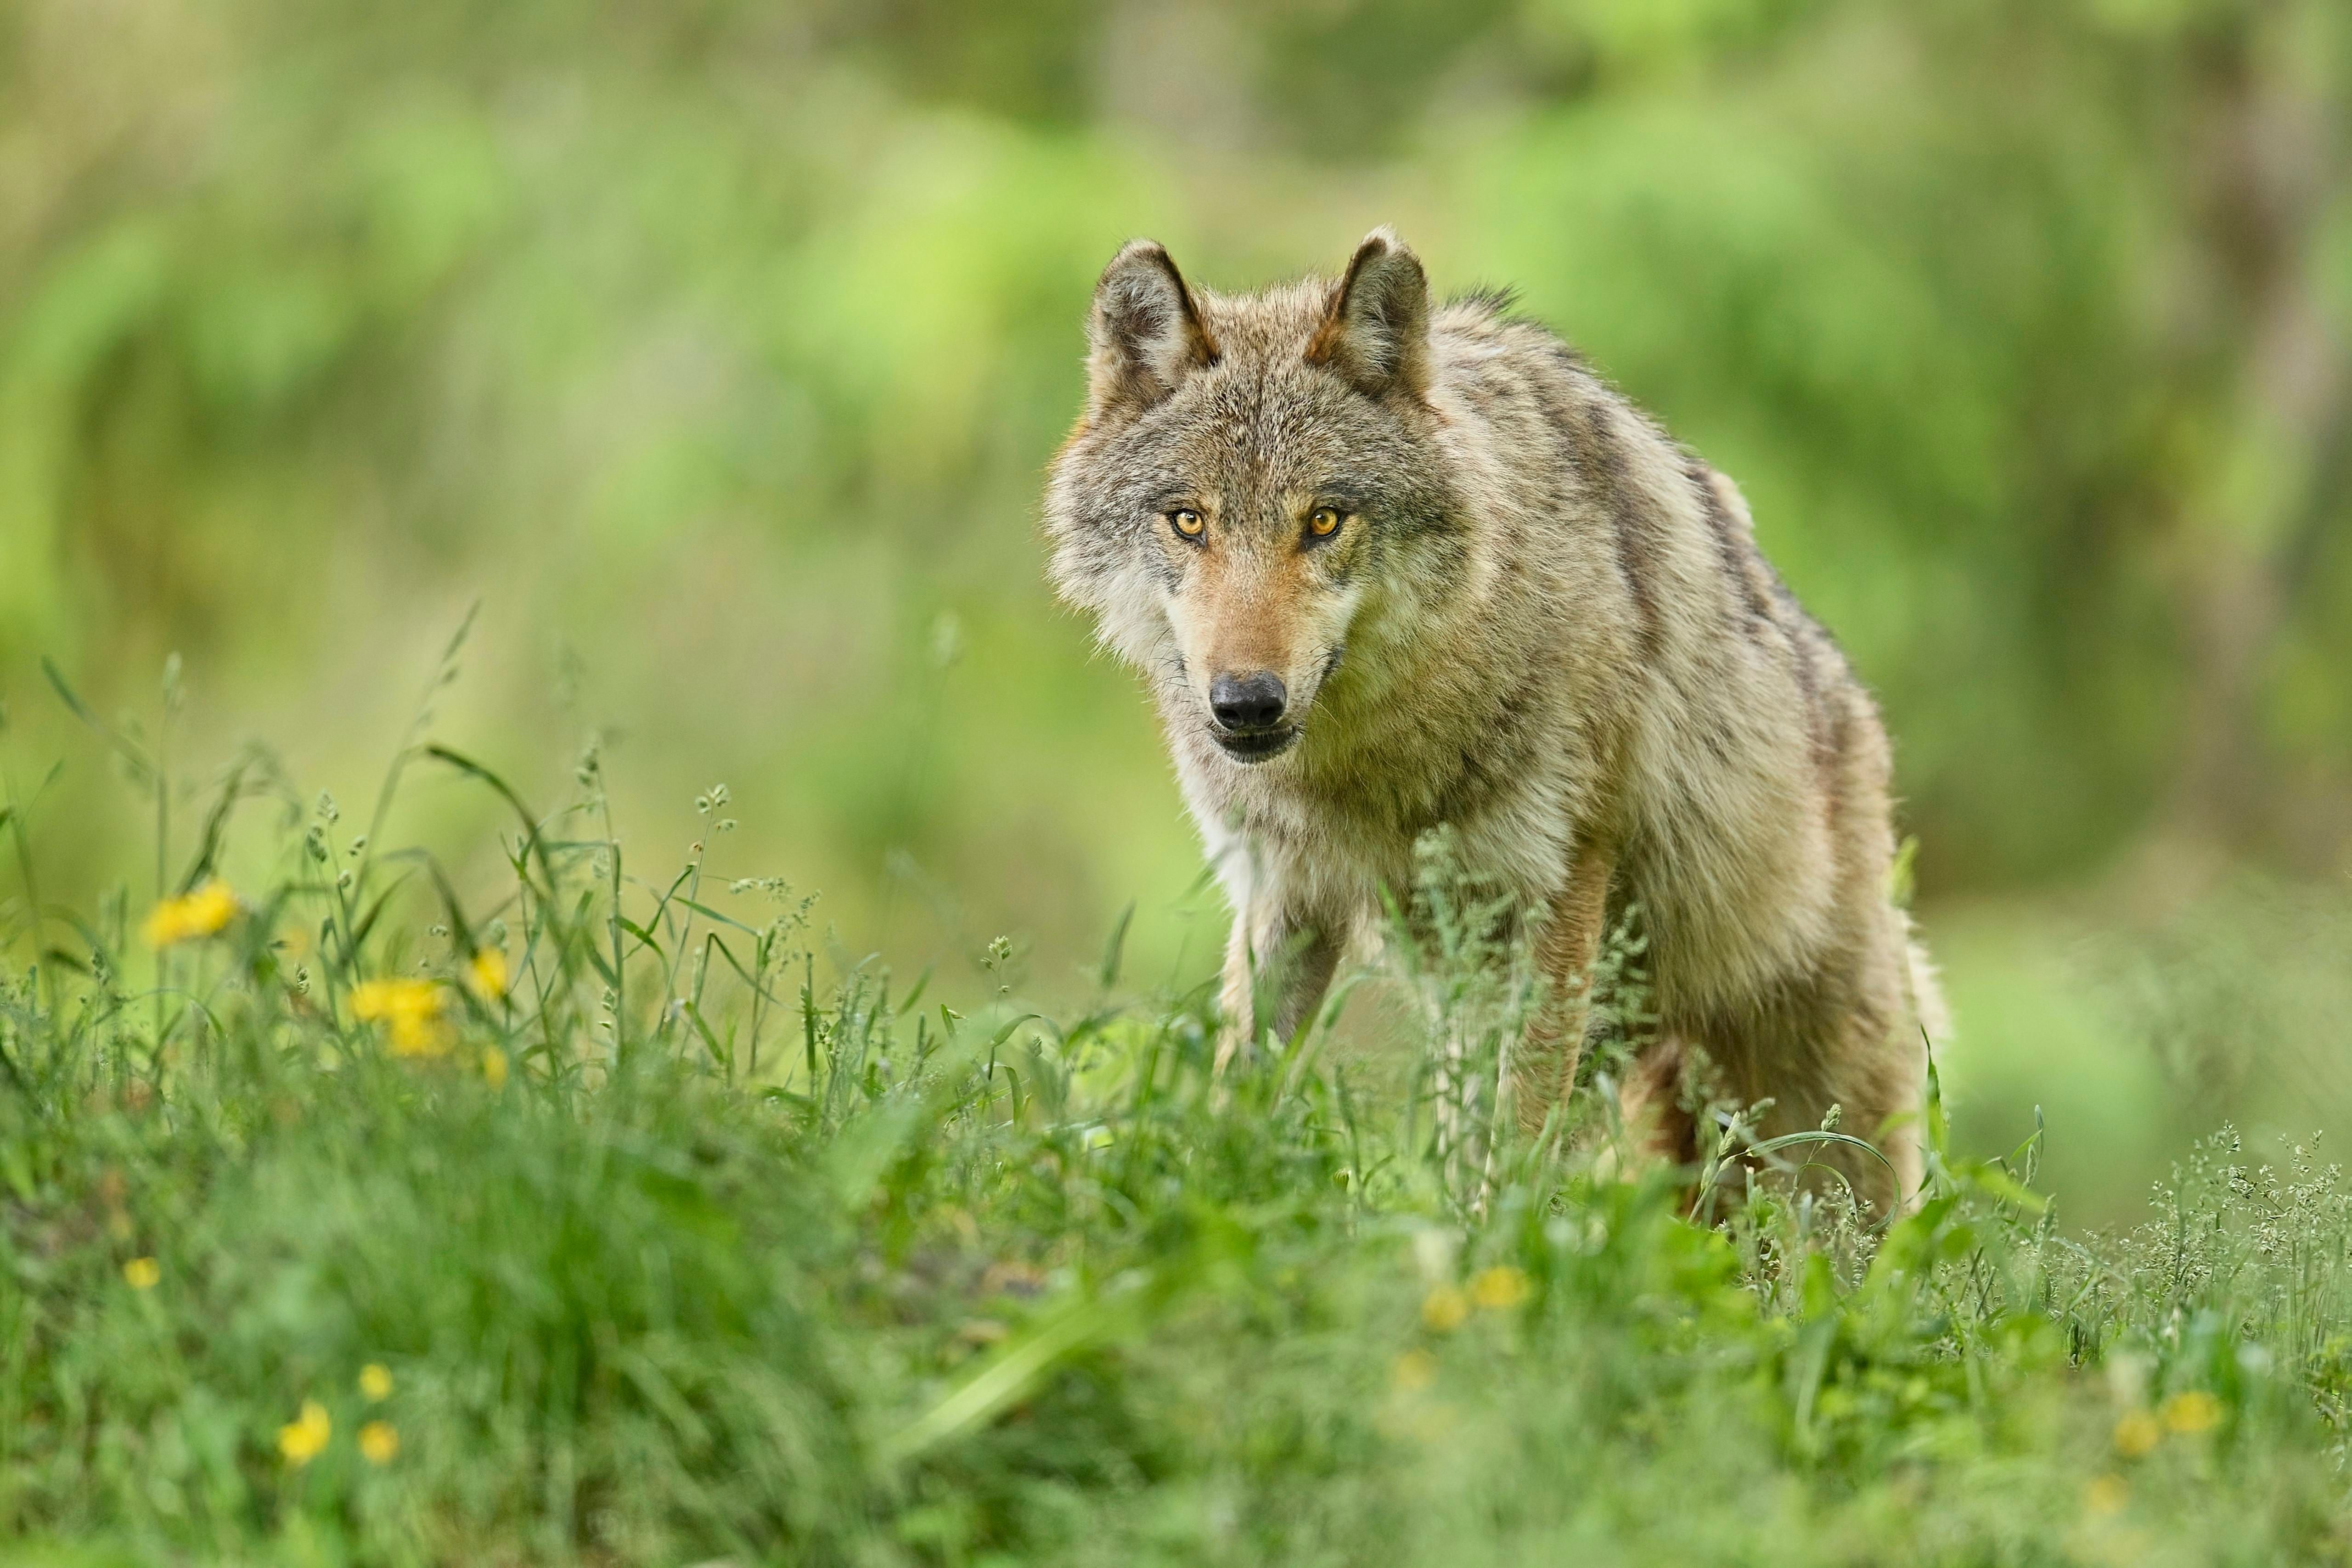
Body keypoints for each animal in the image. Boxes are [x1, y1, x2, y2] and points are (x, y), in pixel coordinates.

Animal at [1042, 229, 1941, 1214]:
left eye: (1324, 521)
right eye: (1188, 521)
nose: (1246, 701)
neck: (1368, 771)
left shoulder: (1556, 900)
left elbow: (1516, 1152)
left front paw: (1492, 1244)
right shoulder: (1282, 892)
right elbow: (1240, 1097)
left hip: (1811, 1133)